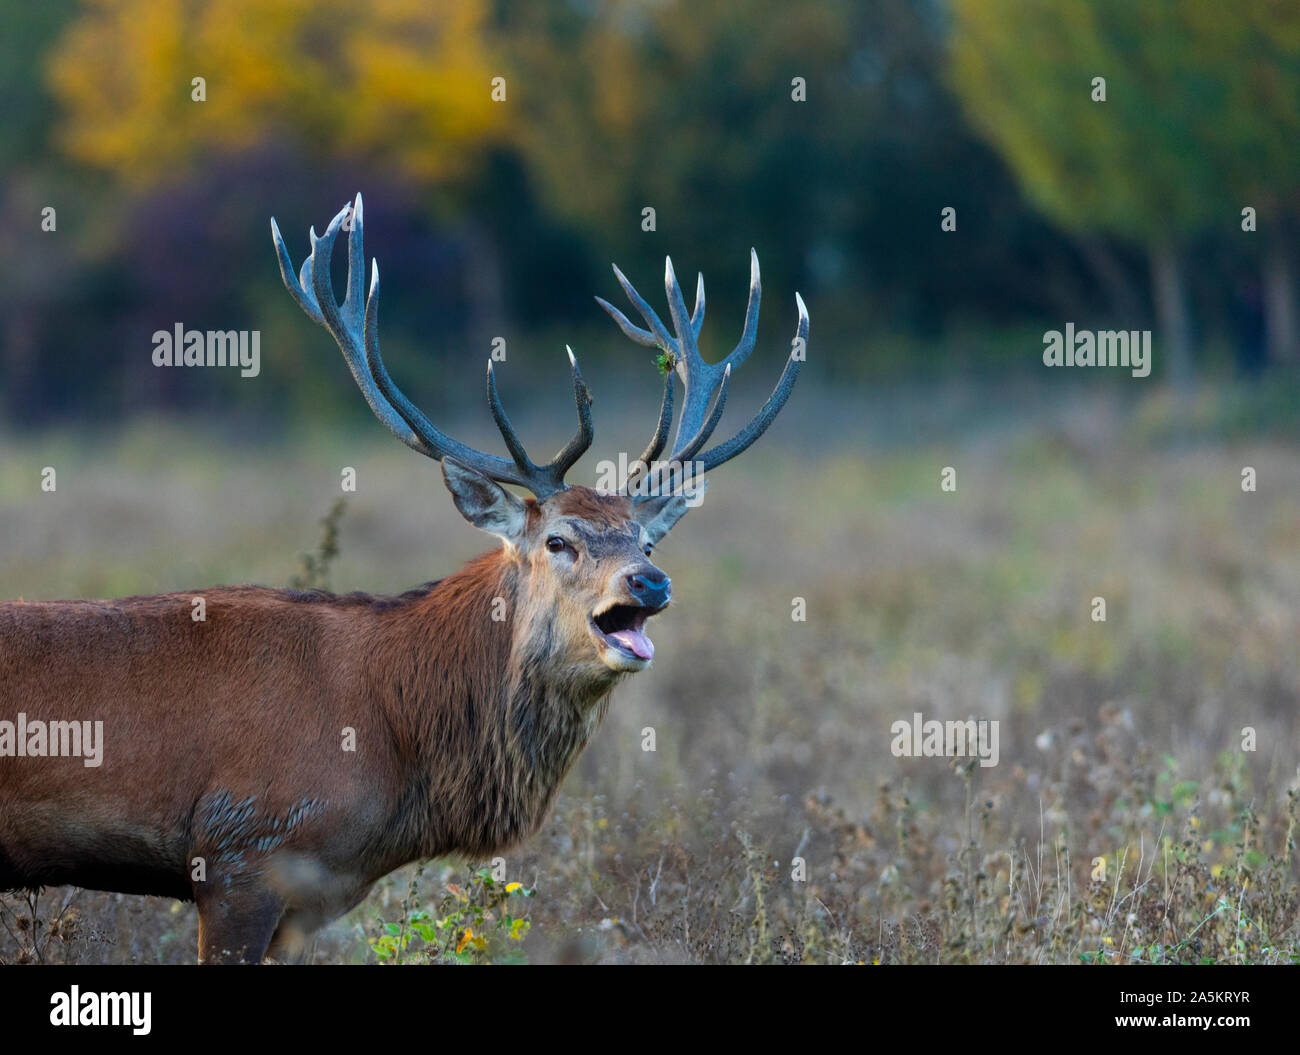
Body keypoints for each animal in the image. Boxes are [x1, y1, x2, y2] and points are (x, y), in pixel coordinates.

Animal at [0, 194, 807, 963]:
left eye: (645, 538)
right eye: (559, 540)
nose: (650, 583)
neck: (390, 741)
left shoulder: (305, 898)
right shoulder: (239, 850)